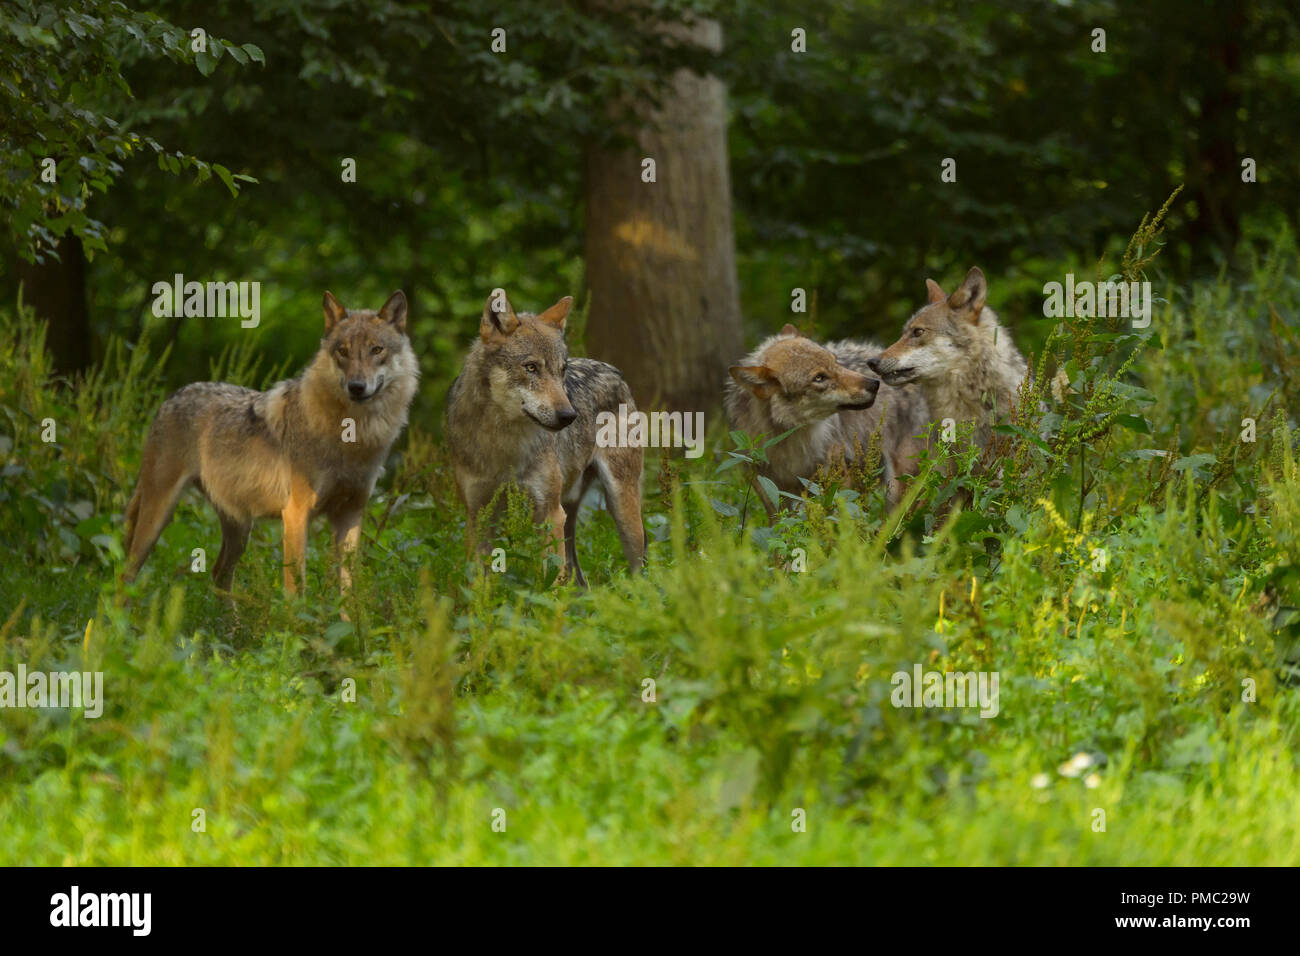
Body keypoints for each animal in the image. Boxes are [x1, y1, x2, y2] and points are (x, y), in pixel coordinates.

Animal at [123, 290, 418, 596]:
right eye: (343, 351)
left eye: (376, 350)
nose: (357, 387)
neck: (352, 438)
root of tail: (169, 399)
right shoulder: (296, 515)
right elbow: (296, 594)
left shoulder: (350, 515)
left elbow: (349, 592)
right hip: (158, 517)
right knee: (126, 575)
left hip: (239, 527)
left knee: (218, 573)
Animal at [445, 290, 644, 585]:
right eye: (531, 368)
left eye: (561, 370)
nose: (569, 415)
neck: (503, 441)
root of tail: (613, 369)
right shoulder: (478, 516)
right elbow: (480, 585)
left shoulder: (549, 514)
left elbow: (550, 584)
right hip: (571, 511)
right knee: (580, 581)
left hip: (621, 509)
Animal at [725, 325, 928, 513]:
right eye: (819, 378)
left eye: (836, 362)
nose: (875, 384)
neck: (789, 443)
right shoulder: (771, 493)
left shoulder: (837, 483)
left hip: (899, 488)